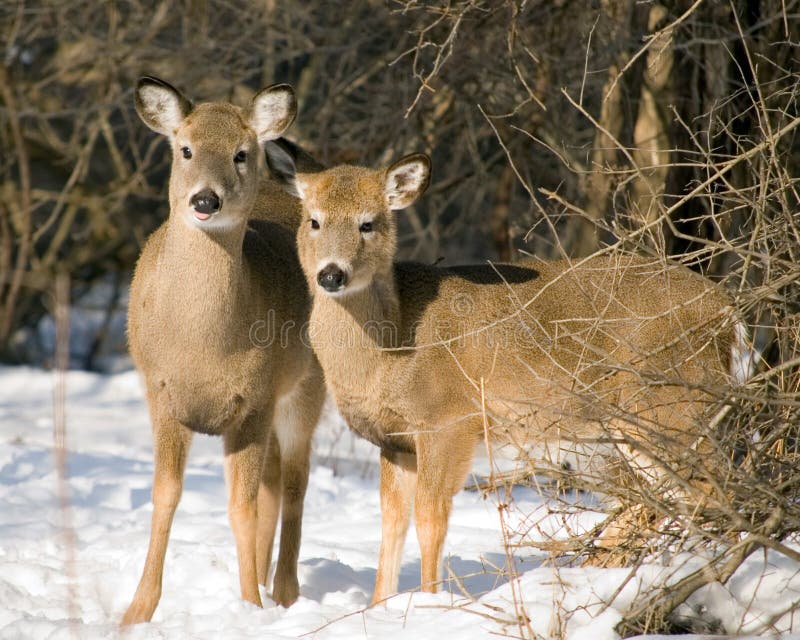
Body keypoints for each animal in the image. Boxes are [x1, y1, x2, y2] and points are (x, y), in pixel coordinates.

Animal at [122, 76, 324, 624]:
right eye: (186, 149)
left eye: (240, 153)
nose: (206, 199)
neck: (204, 348)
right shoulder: (161, 393)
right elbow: (165, 495)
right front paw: (137, 612)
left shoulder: (253, 401)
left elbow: (241, 507)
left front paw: (250, 606)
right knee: (276, 482)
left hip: (308, 386)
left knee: (293, 481)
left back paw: (284, 590)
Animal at [267, 151, 741, 604]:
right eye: (314, 220)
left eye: (368, 223)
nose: (332, 274)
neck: (390, 346)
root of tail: (726, 311)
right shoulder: (396, 440)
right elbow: (391, 522)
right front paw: (378, 608)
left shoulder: (448, 420)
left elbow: (430, 516)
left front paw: (427, 603)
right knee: (658, 499)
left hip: (671, 406)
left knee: (711, 491)